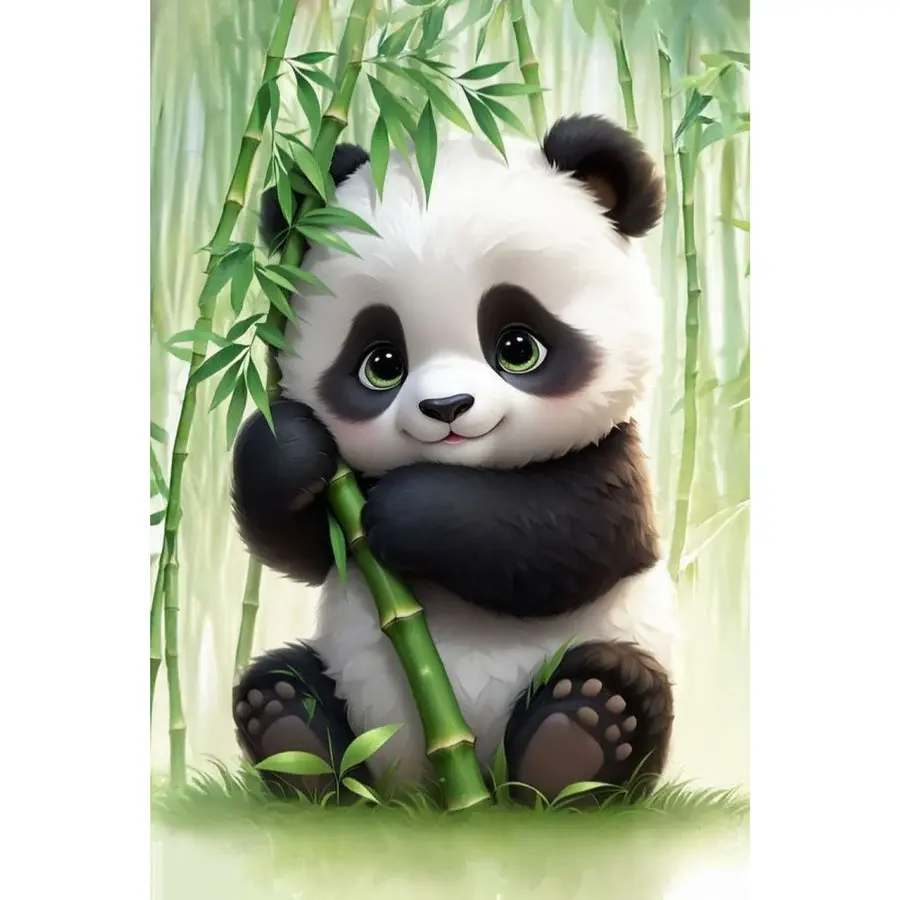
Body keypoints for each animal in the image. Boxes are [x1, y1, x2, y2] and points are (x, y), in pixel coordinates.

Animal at [231, 114, 680, 803]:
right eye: (382, 363)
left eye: (518, 347)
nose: (446, 408)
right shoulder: (341, 502)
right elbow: (302, 546)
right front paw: (292, 450)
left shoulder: (612, 455)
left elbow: (574, 537)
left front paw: (408, 510)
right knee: (296, 690)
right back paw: (291, 731)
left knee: (613, 695)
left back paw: (580, 736)